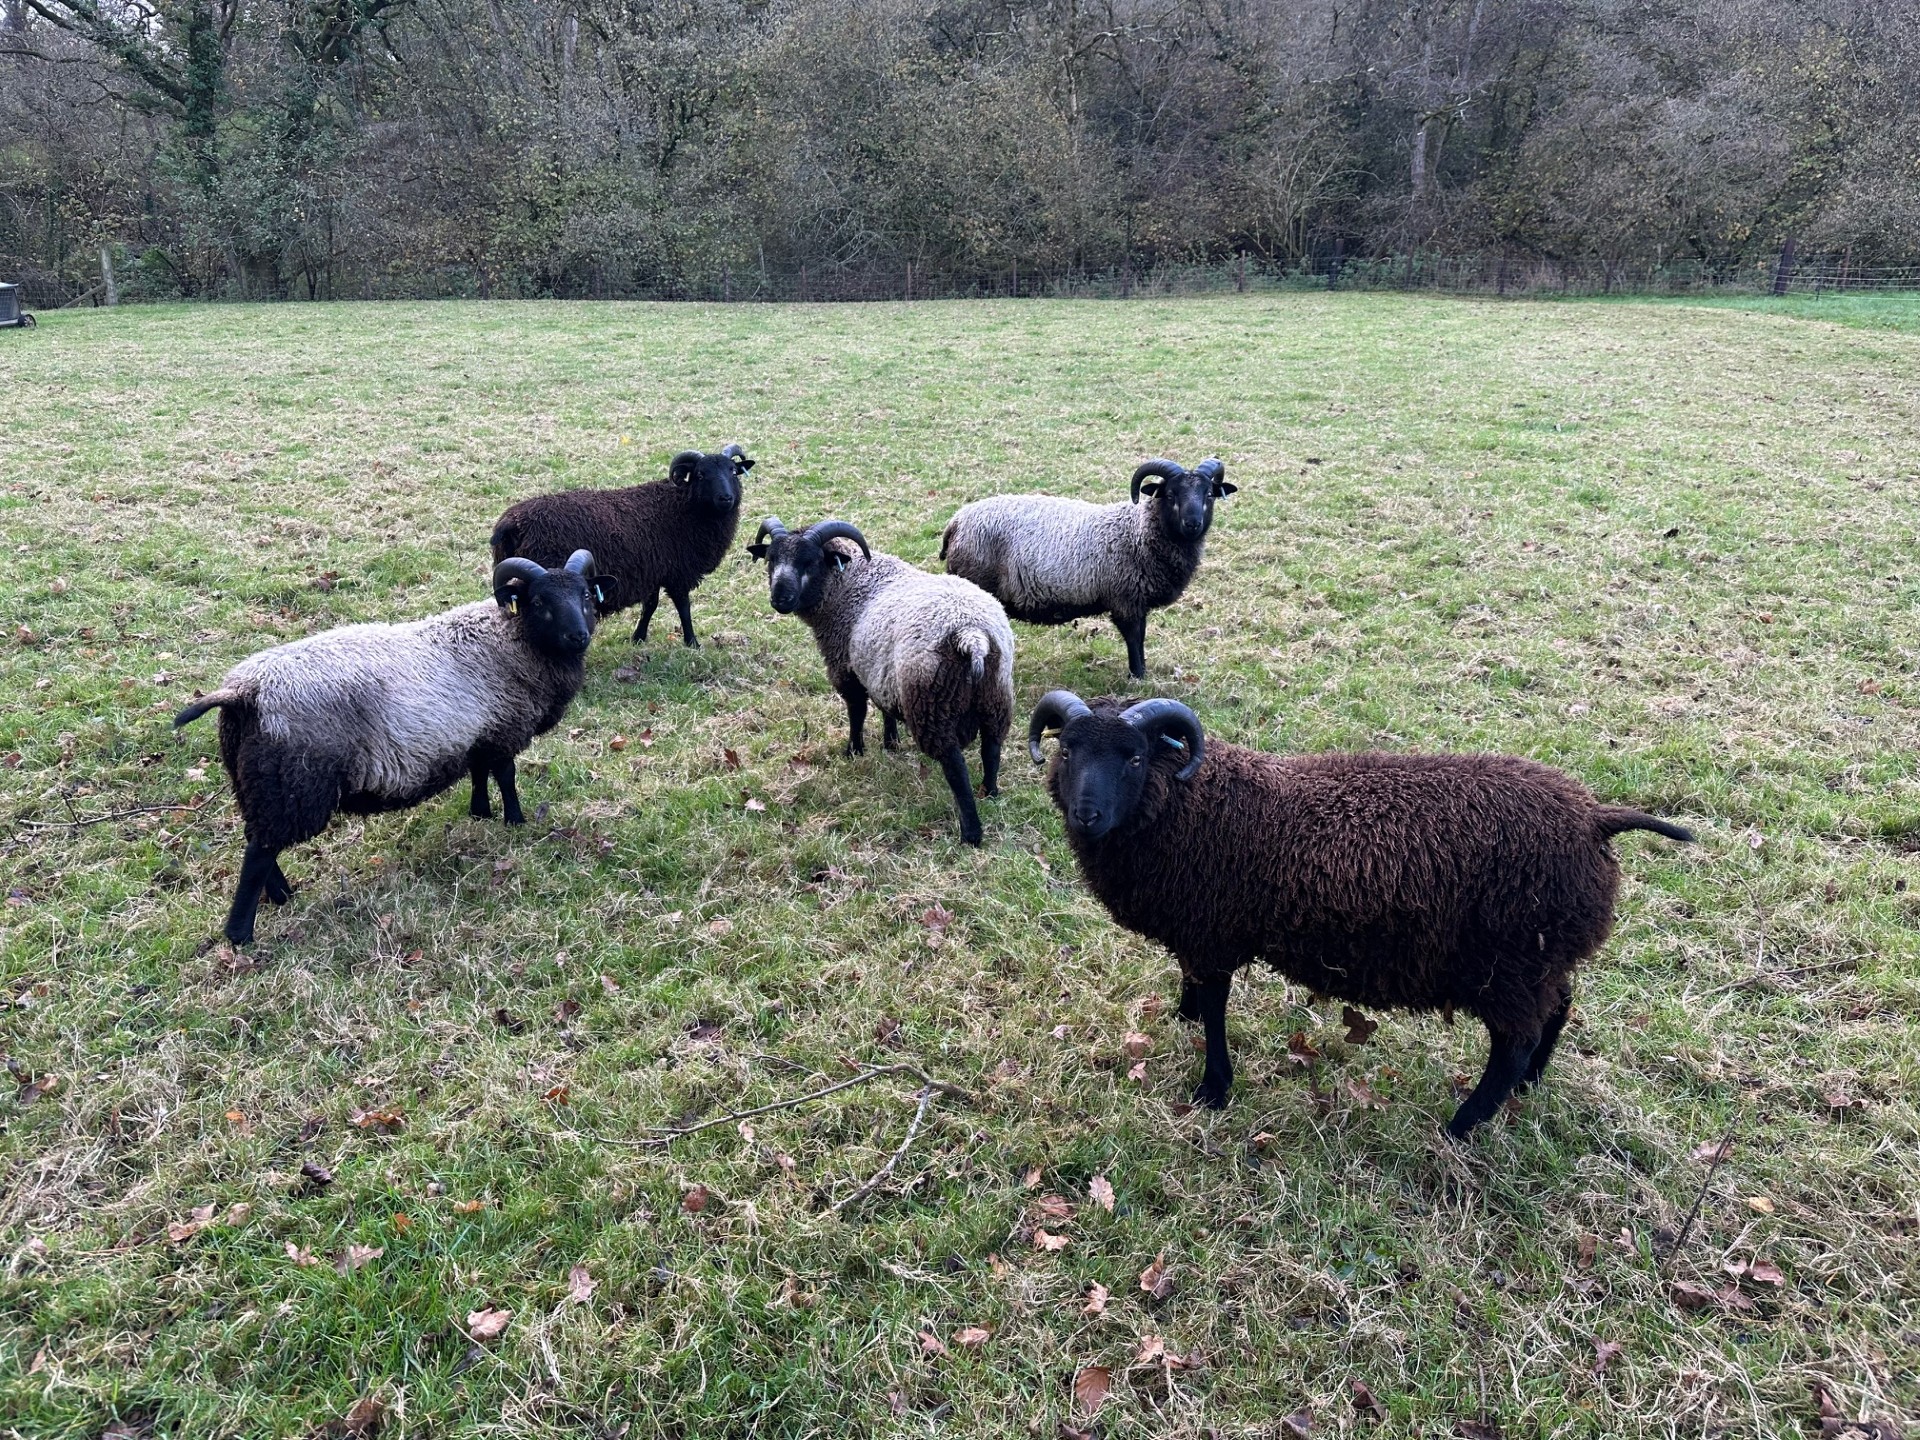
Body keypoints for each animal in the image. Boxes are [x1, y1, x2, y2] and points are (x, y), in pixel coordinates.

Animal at [174, 551, 611, 946]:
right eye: (539, 602)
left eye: (585, 595)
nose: (579, 636)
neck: (511, 637)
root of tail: (244, 692)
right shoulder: (505, 729)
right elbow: (505, 776)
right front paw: (515, 822)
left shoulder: (479, 733)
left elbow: (478, 773)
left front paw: (480, 813)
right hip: (294, 783)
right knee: (258, 853)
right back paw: (241, 935)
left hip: (254, 781)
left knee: (258, 839)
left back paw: (281, 895)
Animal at [490, 444, 752, 648]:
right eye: (700, 475)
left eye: (733, 471)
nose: (726, 498)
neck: (684, 507)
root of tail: (512, 523)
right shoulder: (677, 572)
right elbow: (684, 608)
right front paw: (692, 643)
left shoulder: (653, 569)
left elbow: (650, 606)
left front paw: (638, 637)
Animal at [747, 515, 1015, 846]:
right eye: (771, 559)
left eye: (809, 561)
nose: (779, 599)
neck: (847, 582)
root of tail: (971, 635)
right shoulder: (879, 670)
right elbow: (884, 707)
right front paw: (890, 743)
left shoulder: (845, 667)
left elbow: (857, 711)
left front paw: (854, 750)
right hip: (995, 696)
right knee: (992, 748)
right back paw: (990, 793)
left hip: (931, 702)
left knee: (955, 767)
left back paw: (971, 833)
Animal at [940, 457, 1235, 679]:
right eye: (1171, 494)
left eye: (1209, 494)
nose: (1192, 523)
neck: (1139, 532)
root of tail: (956, 522)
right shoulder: (1126, 600)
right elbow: (1134, 639)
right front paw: (1138, 676)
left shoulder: (1136, 601)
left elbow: (1140, 638)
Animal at [1026, 691, 1695, 1137]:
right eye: (1069, 749)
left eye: (1135, 757)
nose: (1086, 815)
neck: (1193, 805)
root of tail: (1594, 817)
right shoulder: (1198, 935)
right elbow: (1194, 991)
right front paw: (1182, 1017)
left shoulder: (1214, 934)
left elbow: (1215, 1011)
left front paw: (1214, 1088)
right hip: (1542, 956)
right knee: (1558, 1008)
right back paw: (1529, 1085)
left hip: (1507, 964)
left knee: (1514, 1043)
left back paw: (1463, 1125)